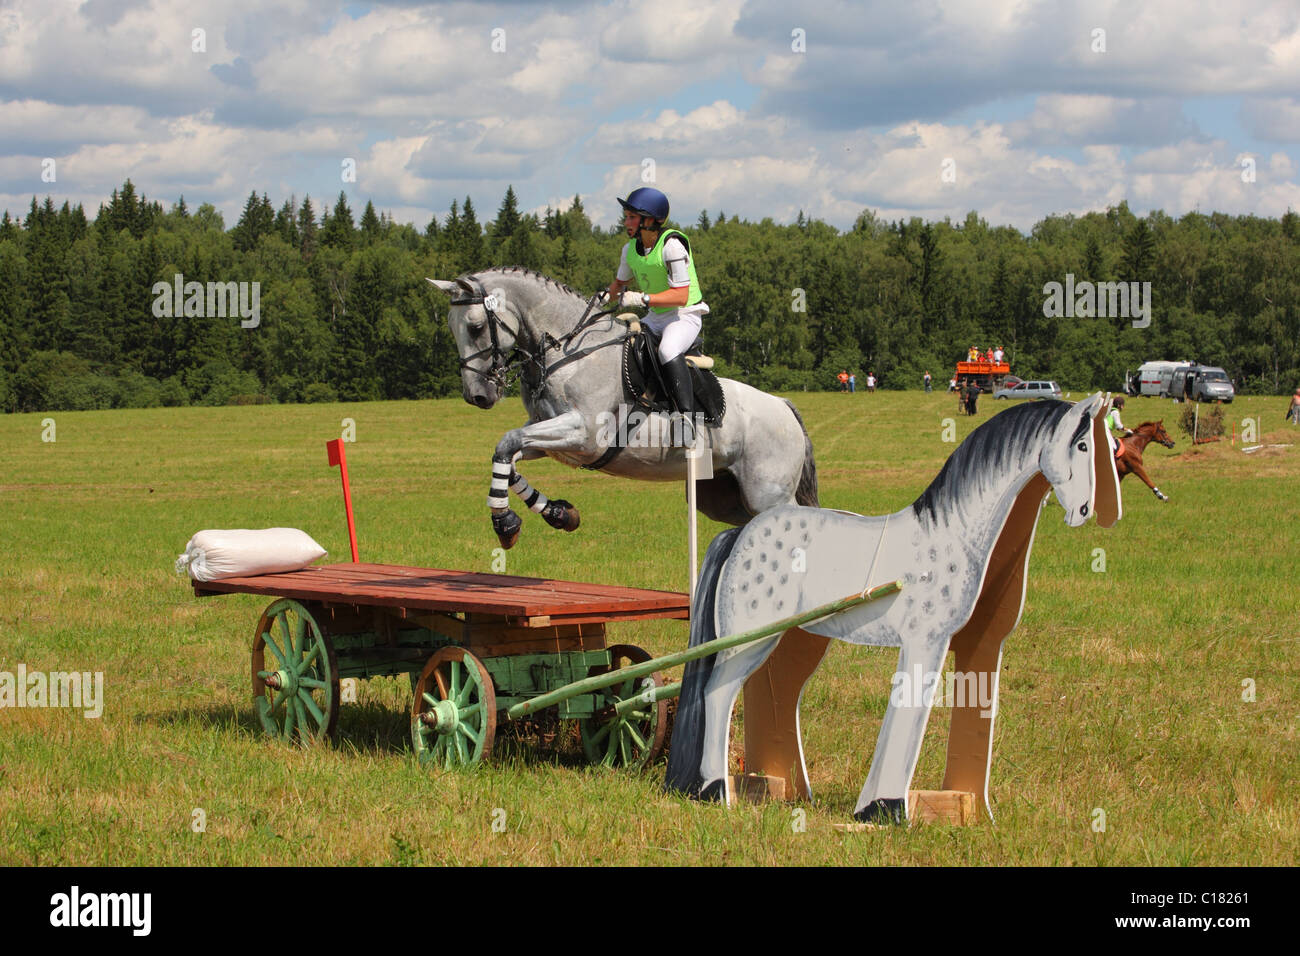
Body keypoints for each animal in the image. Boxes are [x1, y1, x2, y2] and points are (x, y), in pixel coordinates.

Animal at [427, 268, 819, 548]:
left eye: (476, 327)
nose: (477, 396)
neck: (569, 351)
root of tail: (784, 407)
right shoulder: (548, 435)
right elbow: (506, 454)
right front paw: (558, 514)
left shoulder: (582, 435)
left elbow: (507, 442)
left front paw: (505, 524)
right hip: (726, 498)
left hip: (768, 493)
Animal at [665, 393, 1122, 824]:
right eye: (1083, 444)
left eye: (1112, 444)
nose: (1088, 512)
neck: (954, 534)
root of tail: (739, 534)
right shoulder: (925, 641)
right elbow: (909, 712)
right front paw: (884, 808)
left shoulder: (980, 646)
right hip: (747, 641)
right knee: (717, 694)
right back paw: (715, 792)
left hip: (787, 638)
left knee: (767, 695)